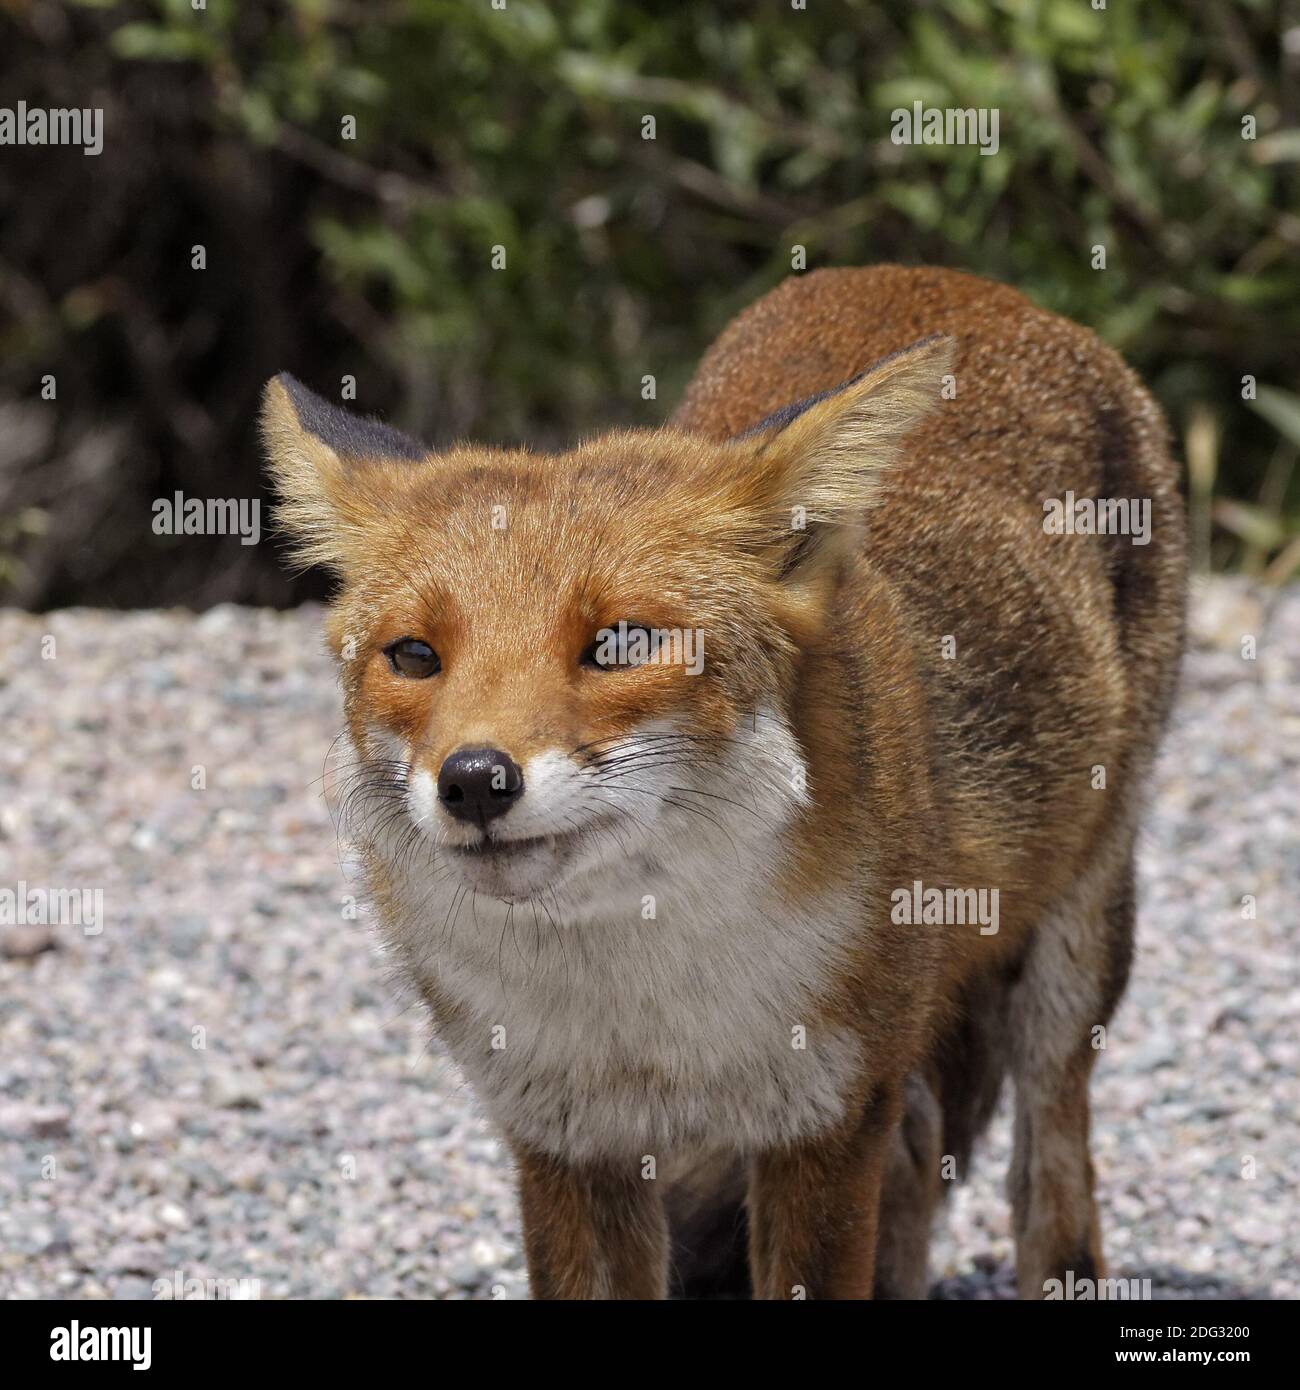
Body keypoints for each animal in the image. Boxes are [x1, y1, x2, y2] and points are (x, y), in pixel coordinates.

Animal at [261, 264, 1186, 1300]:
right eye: (416, 655)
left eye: (619, 645)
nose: (473, 782)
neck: (645, 1008)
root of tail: (957, 280)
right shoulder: (565, 1138)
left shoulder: (826, 1117)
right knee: (924, 1151)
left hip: (1075, 955)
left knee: (1049, 1180)